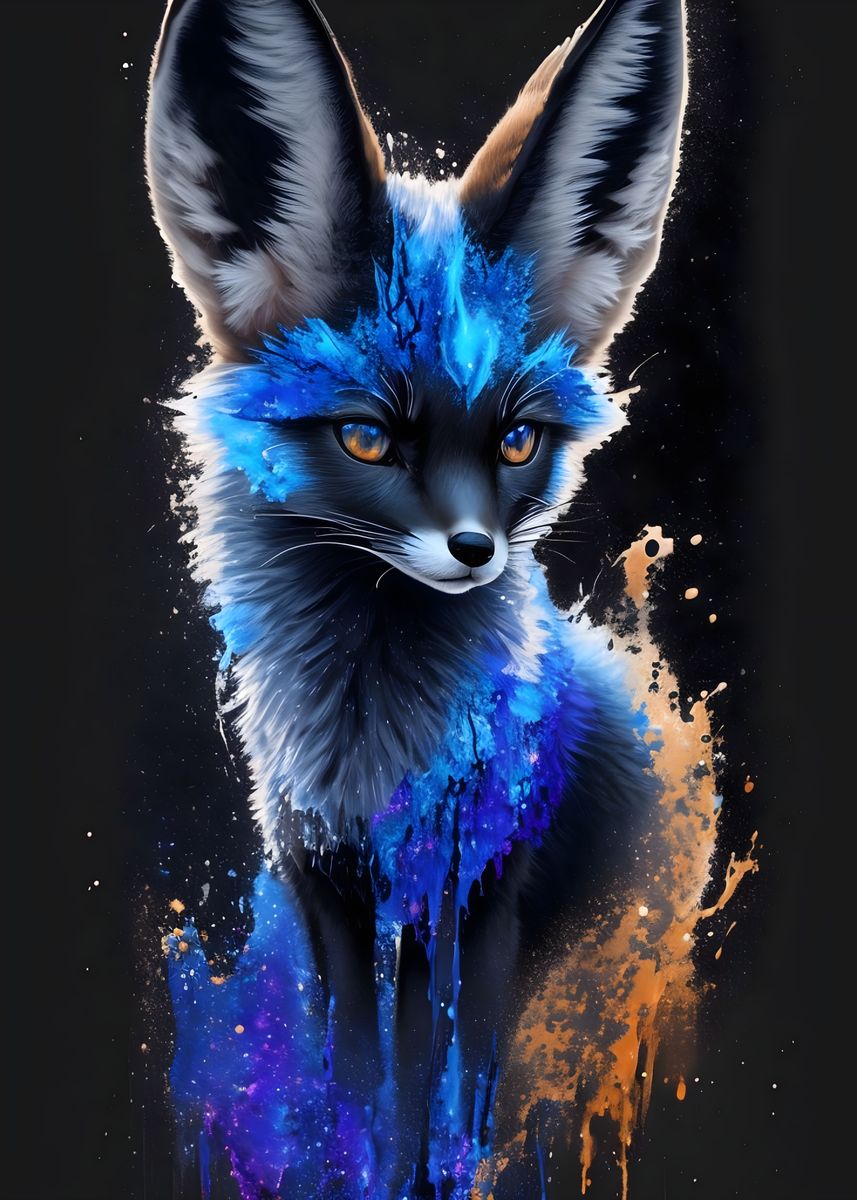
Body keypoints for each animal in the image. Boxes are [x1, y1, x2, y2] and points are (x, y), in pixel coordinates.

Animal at [146, 0, 688, 1196]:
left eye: (516, 441)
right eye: (366, 438)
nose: (473, 551)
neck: (374, 749)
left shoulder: (478, 887)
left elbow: (447, 1090)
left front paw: (431, 1173)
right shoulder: (328, 885)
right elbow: (357, 1073)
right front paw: (347, 1166)